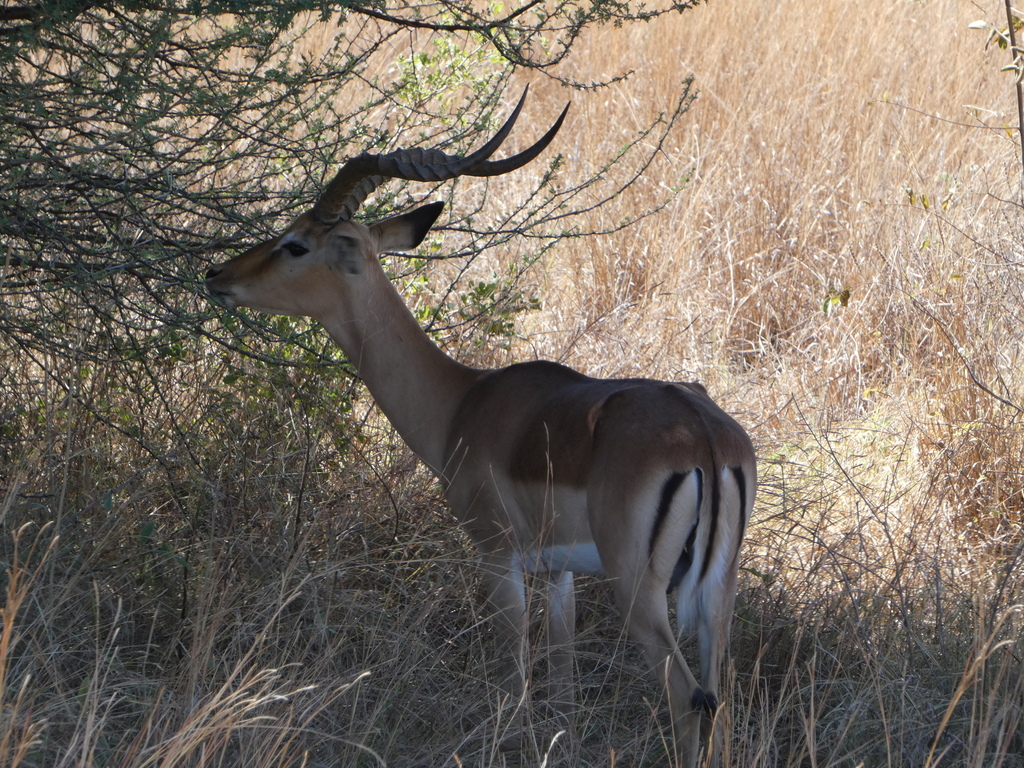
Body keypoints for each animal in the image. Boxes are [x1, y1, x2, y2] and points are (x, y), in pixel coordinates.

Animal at [205, 89, 756, 767]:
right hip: (715, 593)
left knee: (686, 697)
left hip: (640, 590)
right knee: (720, 700)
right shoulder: (560, 573)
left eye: (296, 244)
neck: (462, 402)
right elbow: (562, 683)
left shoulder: (497, 557)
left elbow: (514, 677)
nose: (217, 277)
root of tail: (702, 437)